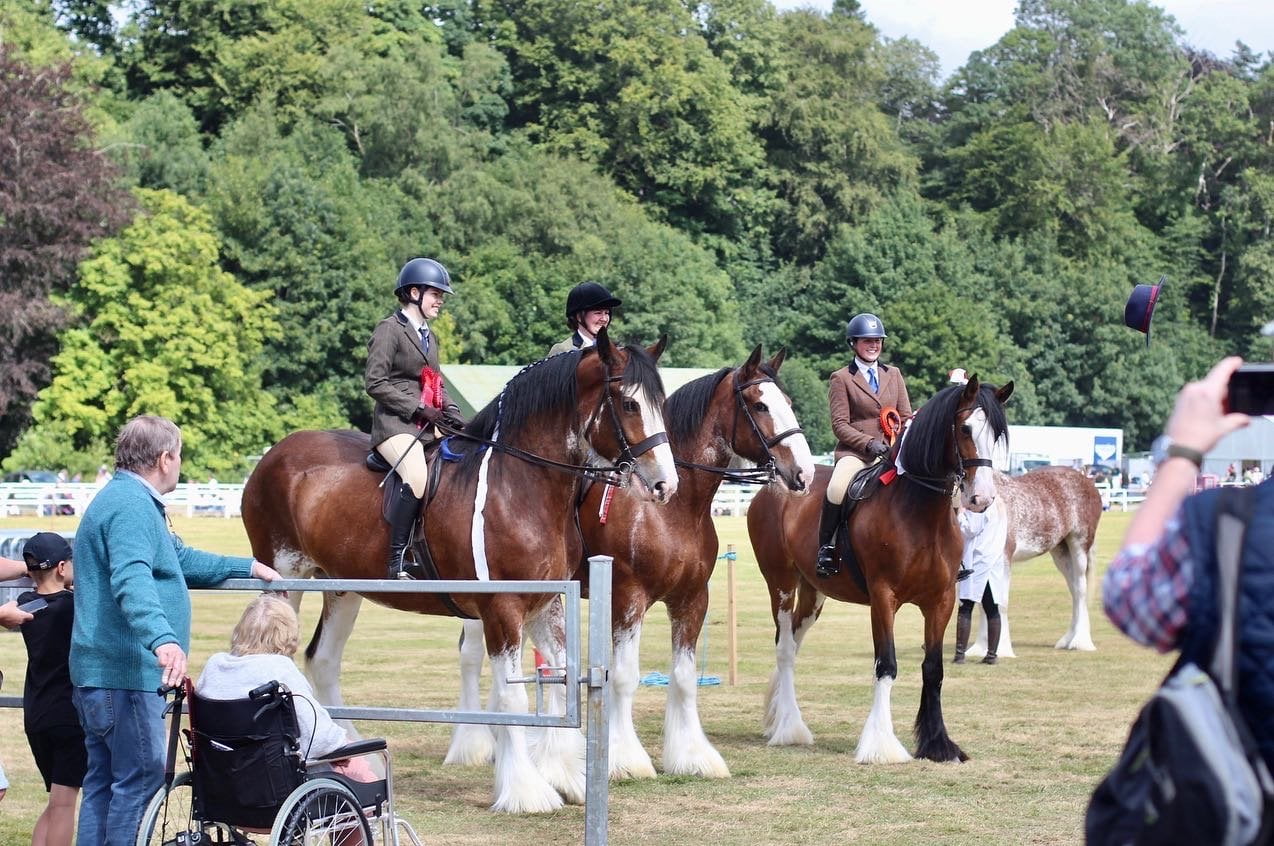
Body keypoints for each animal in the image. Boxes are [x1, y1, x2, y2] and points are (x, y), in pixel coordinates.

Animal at [240, 331, 679, 814]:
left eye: (661, 403)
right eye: (630, 404)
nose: (666, 485)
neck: (522, 486)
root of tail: (275, 454)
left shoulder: (545, 605)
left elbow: (560, 680)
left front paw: (568, 778)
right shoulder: (502, 609)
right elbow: (512, 697)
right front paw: (525, 791)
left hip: (341, 589)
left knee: (323, 660)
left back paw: (357, 760)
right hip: (284, 577)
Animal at [444, 345, 816, 780]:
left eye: (788, 402)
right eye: (759, 405)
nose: (805, 472)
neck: (671, 508)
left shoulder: (692, 599)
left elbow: (684, 677)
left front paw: (692, 755)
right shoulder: (627, 598)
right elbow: (623, 677)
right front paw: (624, 758)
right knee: (471, 657)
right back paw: (473, 744)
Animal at [747, 378, 1012, 763]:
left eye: (996, 433)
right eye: (965, 429)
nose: (982, 499)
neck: (921, 512)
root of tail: (777, 485)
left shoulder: (941, 600)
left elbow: (934, 669)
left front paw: (938, 744)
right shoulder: (884, 598)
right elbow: (886, 665)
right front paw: (881, 746)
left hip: (813, 594)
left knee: (793, 644)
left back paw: (779, 714)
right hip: (780, 583)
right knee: (784, 647)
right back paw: (789, 729)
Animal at [963, 466, 1103, 658]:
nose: (981, 499)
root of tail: (1087, 481)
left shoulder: (1003, 558)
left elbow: (999, 601)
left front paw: (1002, 649)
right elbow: (983, 603)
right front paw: (980, 648)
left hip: (1079, 545)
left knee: (1081, 589)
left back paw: (1080, 642)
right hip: (1061, 552)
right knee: (1074, 590)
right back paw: (1067, 640)